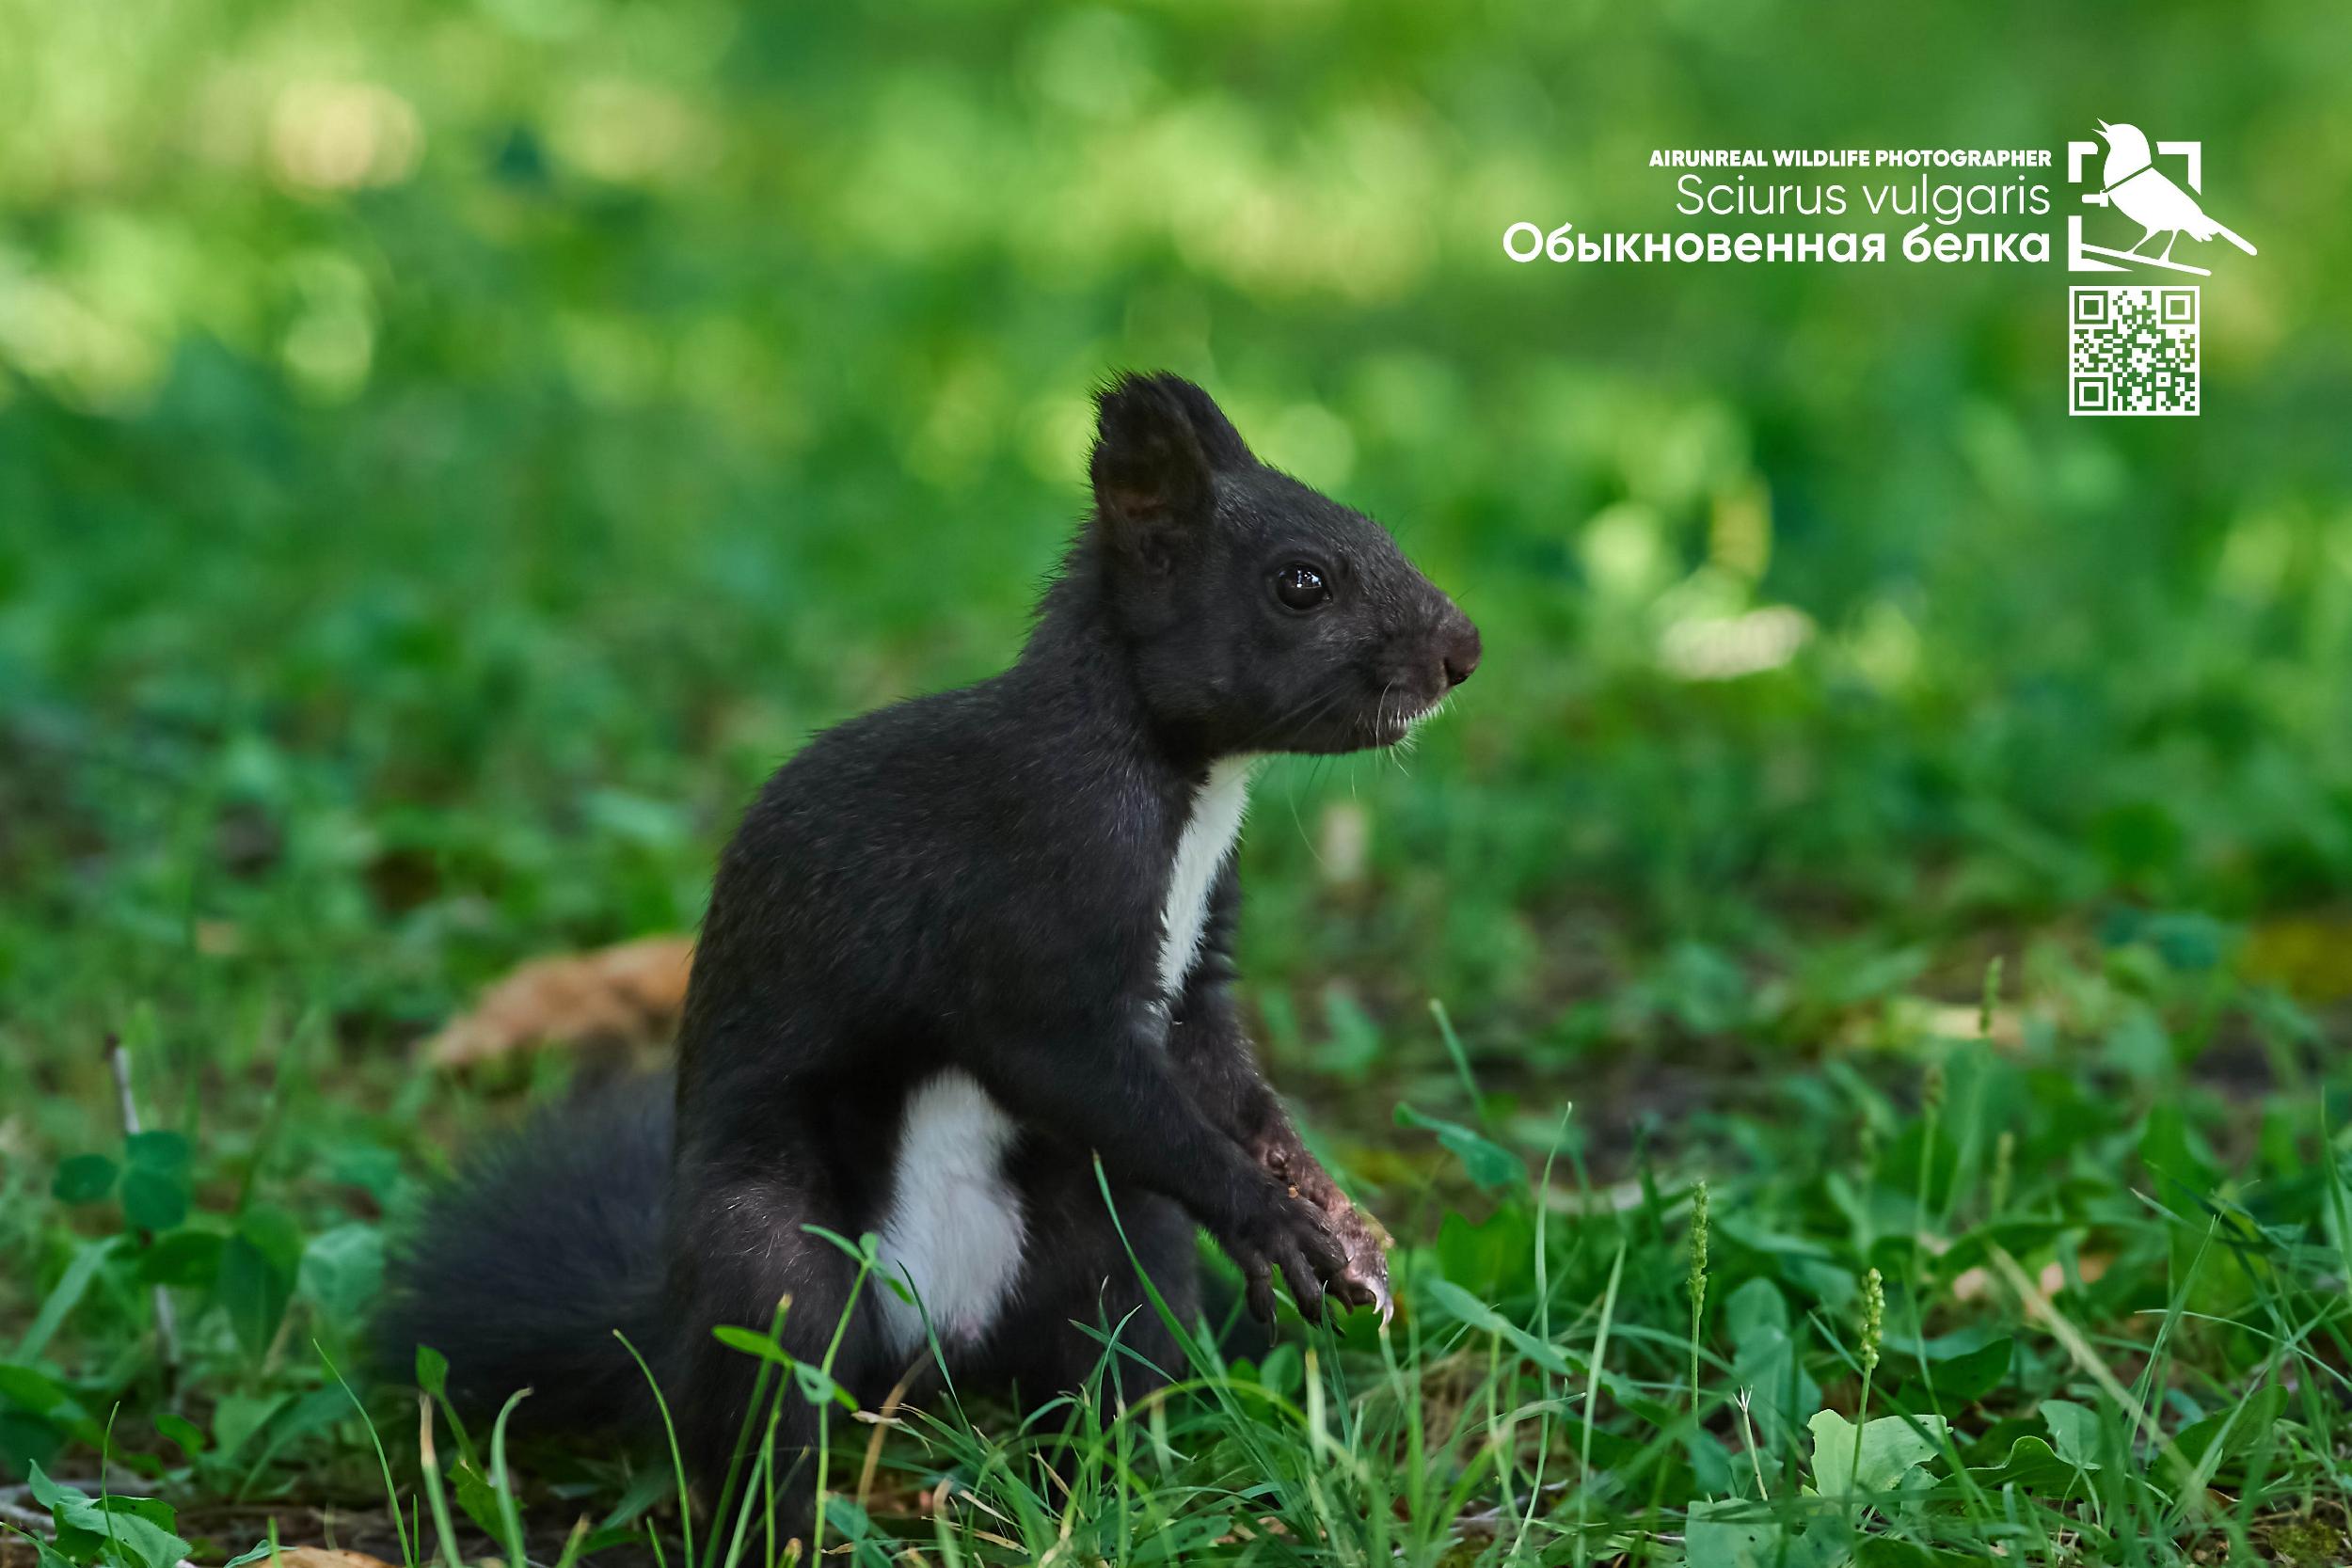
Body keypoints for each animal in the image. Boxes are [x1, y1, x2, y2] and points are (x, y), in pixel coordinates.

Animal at [375, 372, 1481, 1533]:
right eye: (1300, 584)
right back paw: (794, 1524)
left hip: (1118, 1247)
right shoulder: (1027, 926)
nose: (1463, 651)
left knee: (1114, 1351)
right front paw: (1271, 1220)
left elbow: (1228, 1083)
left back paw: (1111, 1490)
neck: (1180, 787)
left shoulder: (1188, 980)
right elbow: (1082, 1071)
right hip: (773, 1261)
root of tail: (932, 1345)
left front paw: (1342, 1222)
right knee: (770, 1390)